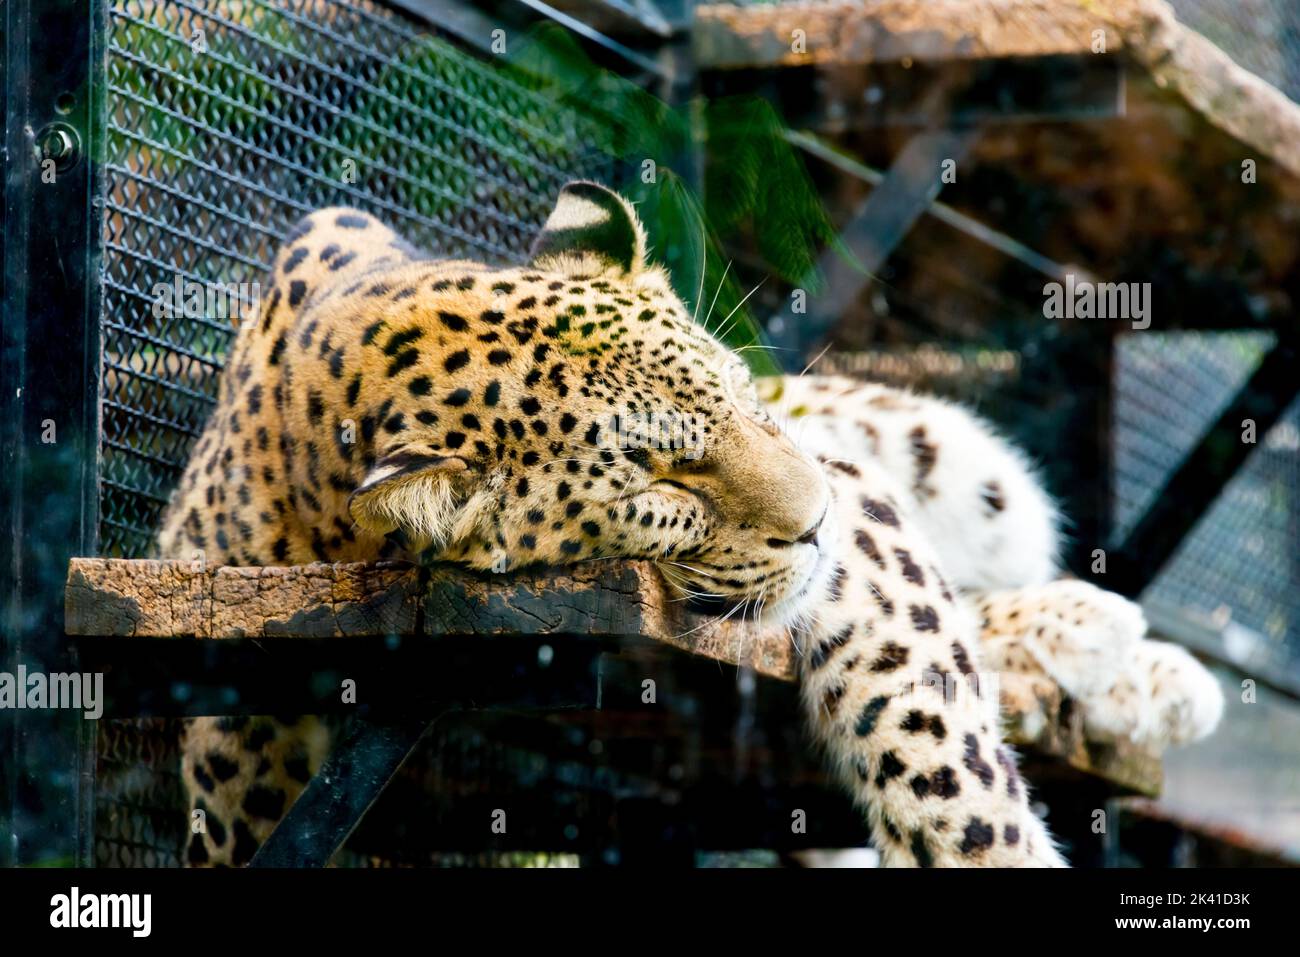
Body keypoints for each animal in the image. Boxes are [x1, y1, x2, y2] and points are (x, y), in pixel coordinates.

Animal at [160, 181, 1222, 867]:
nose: (819, 516)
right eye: (665, 478)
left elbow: (929, 700)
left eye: (735, 392)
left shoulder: (857, 497)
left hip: (970, 472)